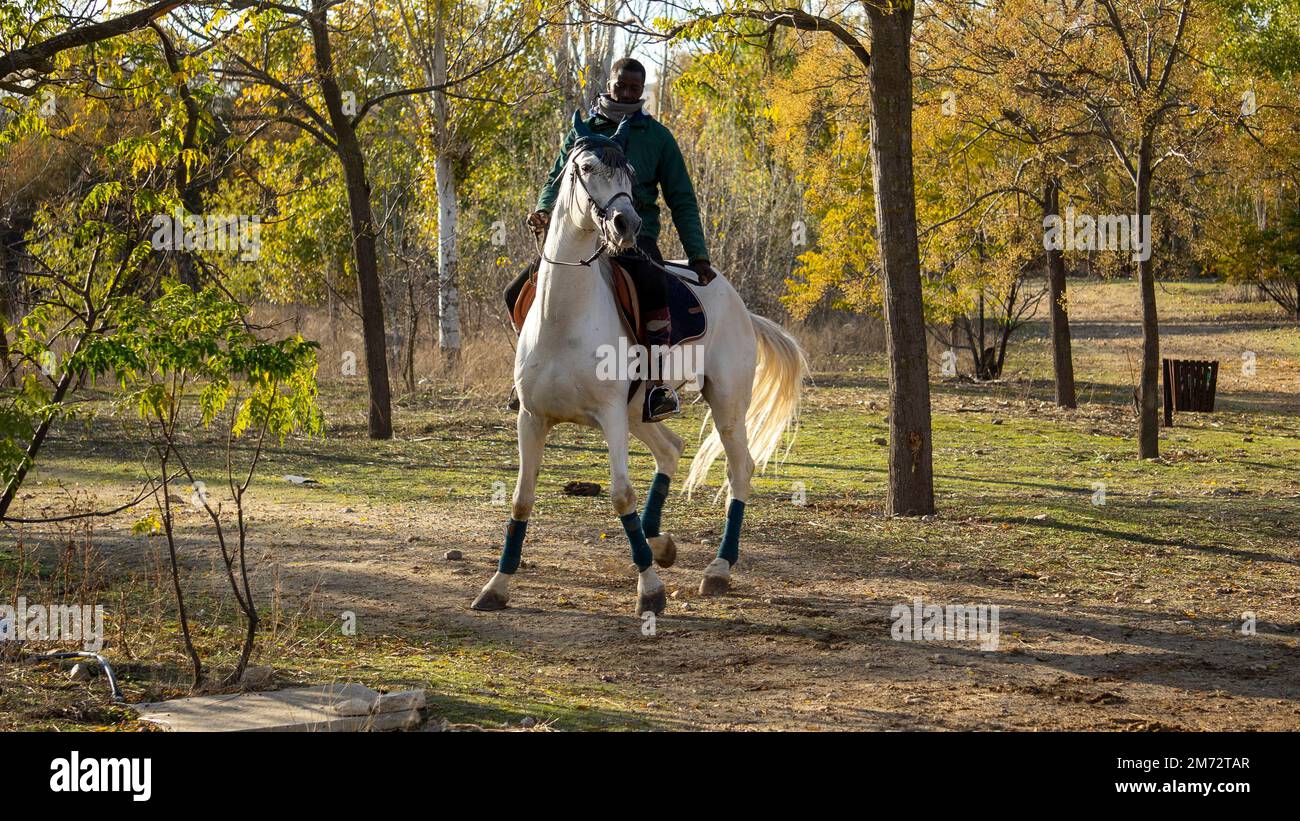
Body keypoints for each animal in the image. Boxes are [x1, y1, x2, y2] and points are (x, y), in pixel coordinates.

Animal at [471, 111, 808, 616]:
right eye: (585, 167)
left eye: (629, 173)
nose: (625, 222)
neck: (563, 318)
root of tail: (738, 304)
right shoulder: (531, 418)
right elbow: (521, 501)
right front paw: (497, 585)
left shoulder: (610, 416)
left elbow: (620, 495)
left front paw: (649, 589)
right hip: (639, 411)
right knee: (670, 448)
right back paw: (658, 541)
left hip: (723, 403)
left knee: (739, 470)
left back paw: (718, 568)